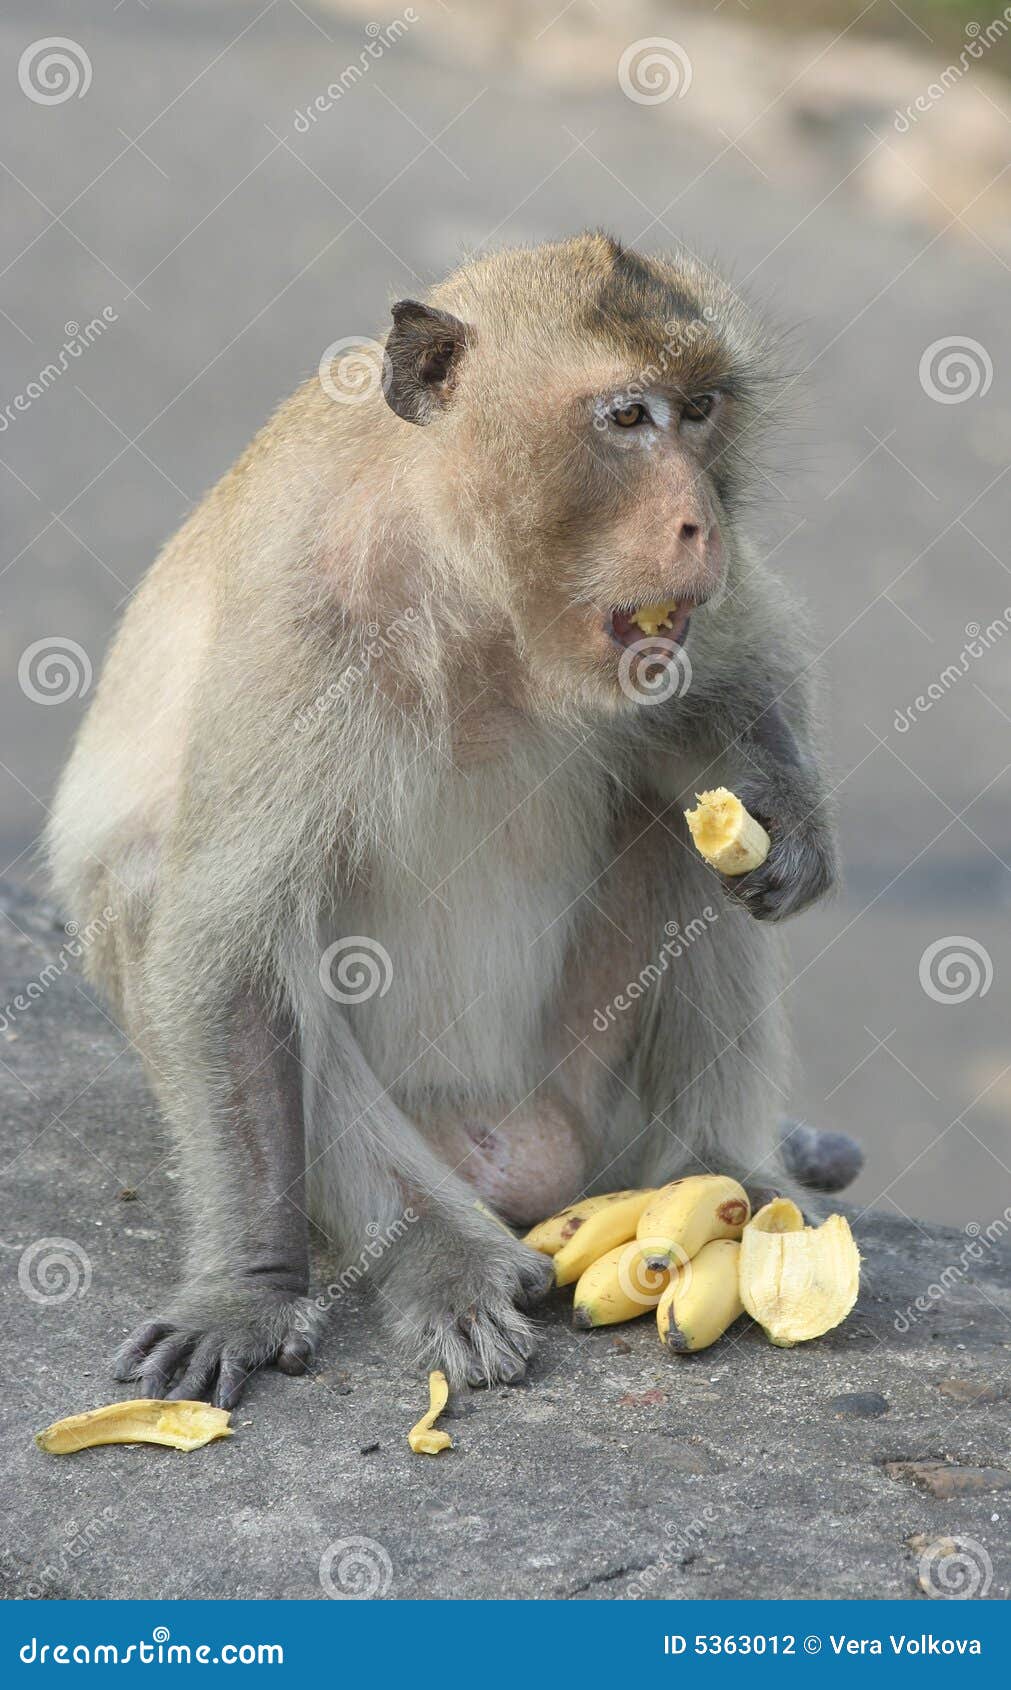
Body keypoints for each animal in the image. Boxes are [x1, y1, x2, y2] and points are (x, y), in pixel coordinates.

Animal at [47, 232, 858, 1408]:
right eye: (627, 418)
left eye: (703, 409)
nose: (700, 521)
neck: (469, 583)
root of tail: (526, 1154)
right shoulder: (299, 609)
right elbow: (226, 945)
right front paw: (249, 1290)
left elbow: (732, 669)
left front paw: (787, 808)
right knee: (158, 890)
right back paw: (446, 1258)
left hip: (589, 1093)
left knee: (668, 819)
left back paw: (719, 1173)